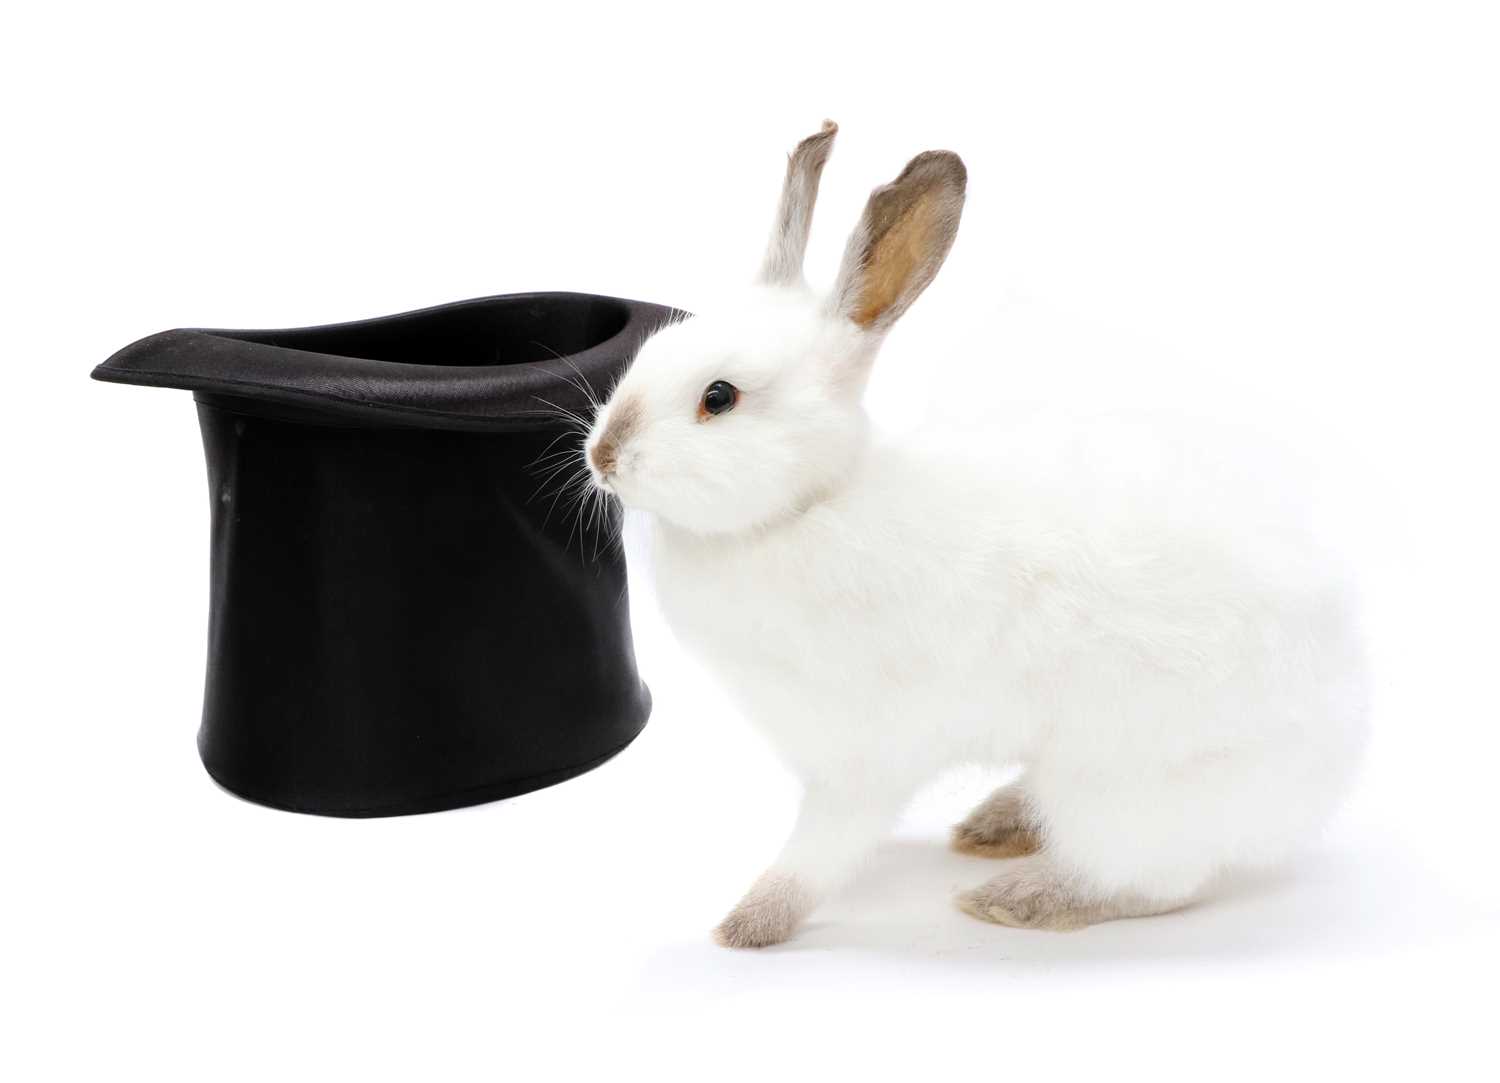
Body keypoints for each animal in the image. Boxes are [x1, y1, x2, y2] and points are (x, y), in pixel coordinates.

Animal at [583, 120, 1369, 949]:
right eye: (651, 355)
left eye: (719, 396)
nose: (602, 456)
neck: (811, 504)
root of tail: (1343, 740)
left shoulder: (861, 756)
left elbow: (821, 848)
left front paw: (748, 923)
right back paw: (996, 825)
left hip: (1122, 782)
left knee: (1154, 880)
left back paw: (1019, 895)